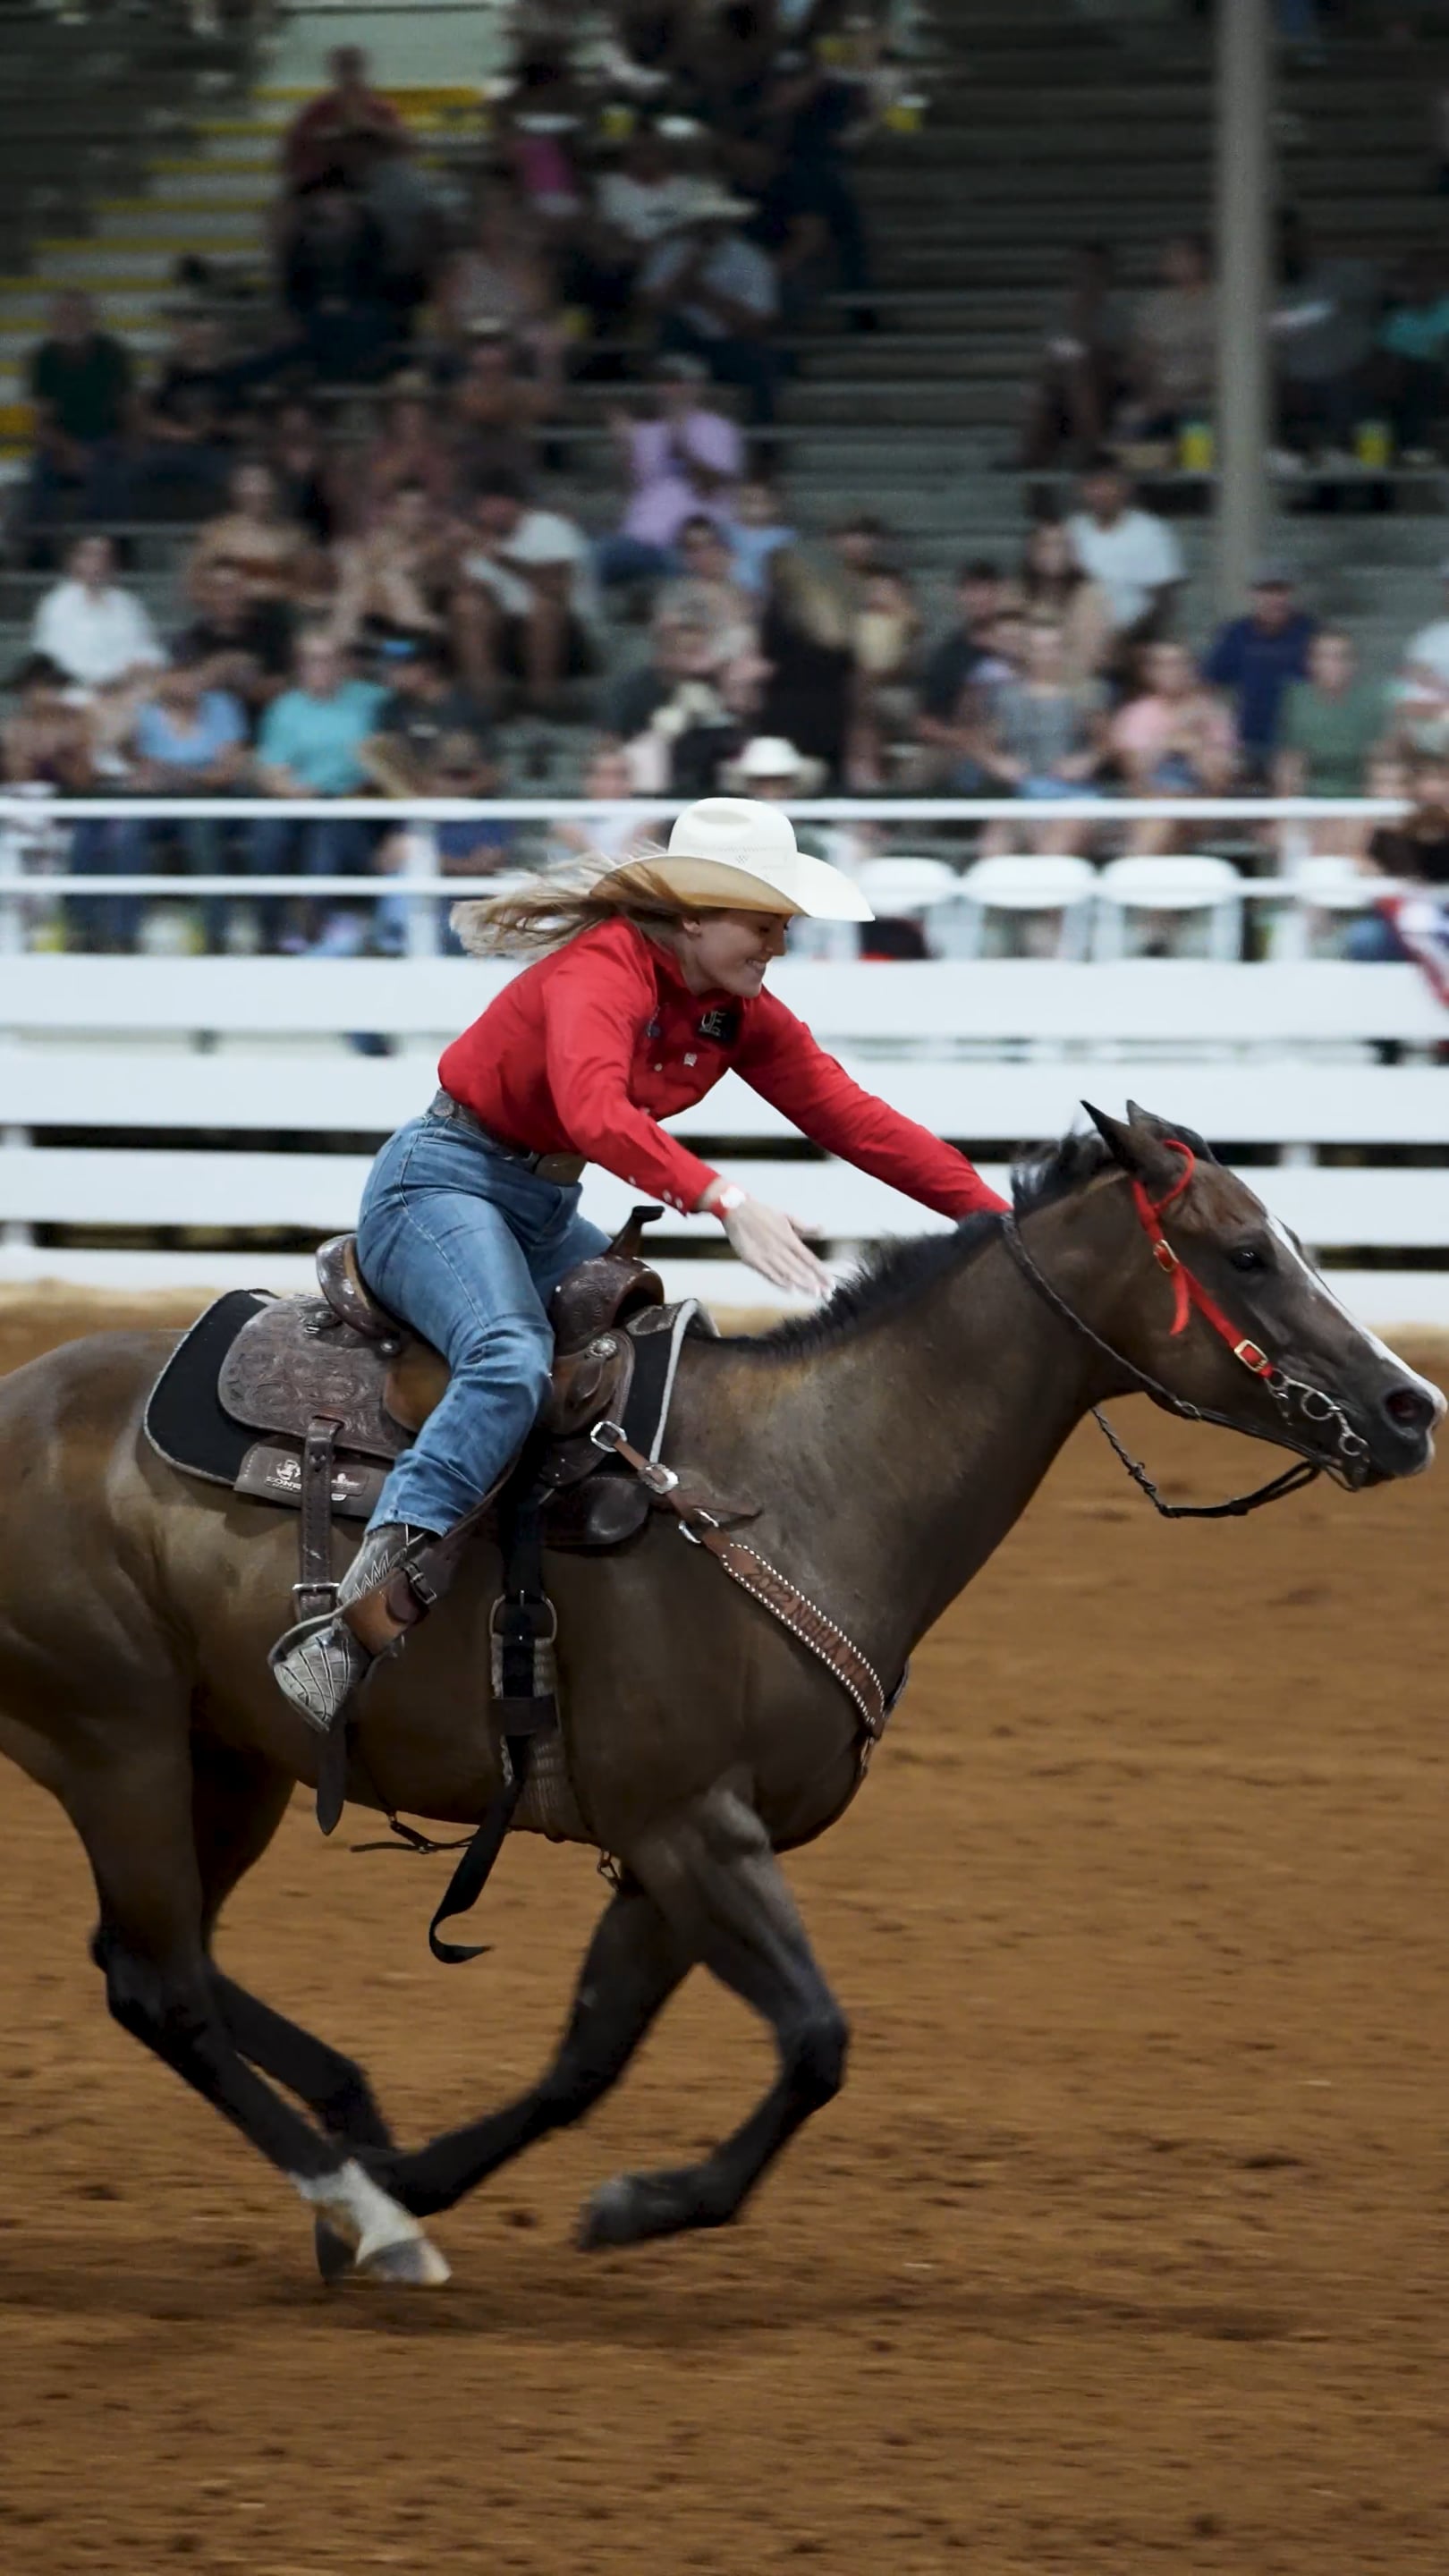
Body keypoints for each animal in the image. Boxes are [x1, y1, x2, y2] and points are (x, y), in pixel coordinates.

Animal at [0, 1097, 1433, 2287]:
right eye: (1245, 1254)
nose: (1411, 1405)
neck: (806, 1479)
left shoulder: (672, 1851)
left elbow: (587, 2056)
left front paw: (460, 2173)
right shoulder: (694, 1827)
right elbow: (815, 2040)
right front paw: (635, 2203)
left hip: (227, 1758)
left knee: (157, 1956)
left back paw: (360, 2139)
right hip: (119, 1742)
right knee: (162, 1984)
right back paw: (372, 2215)